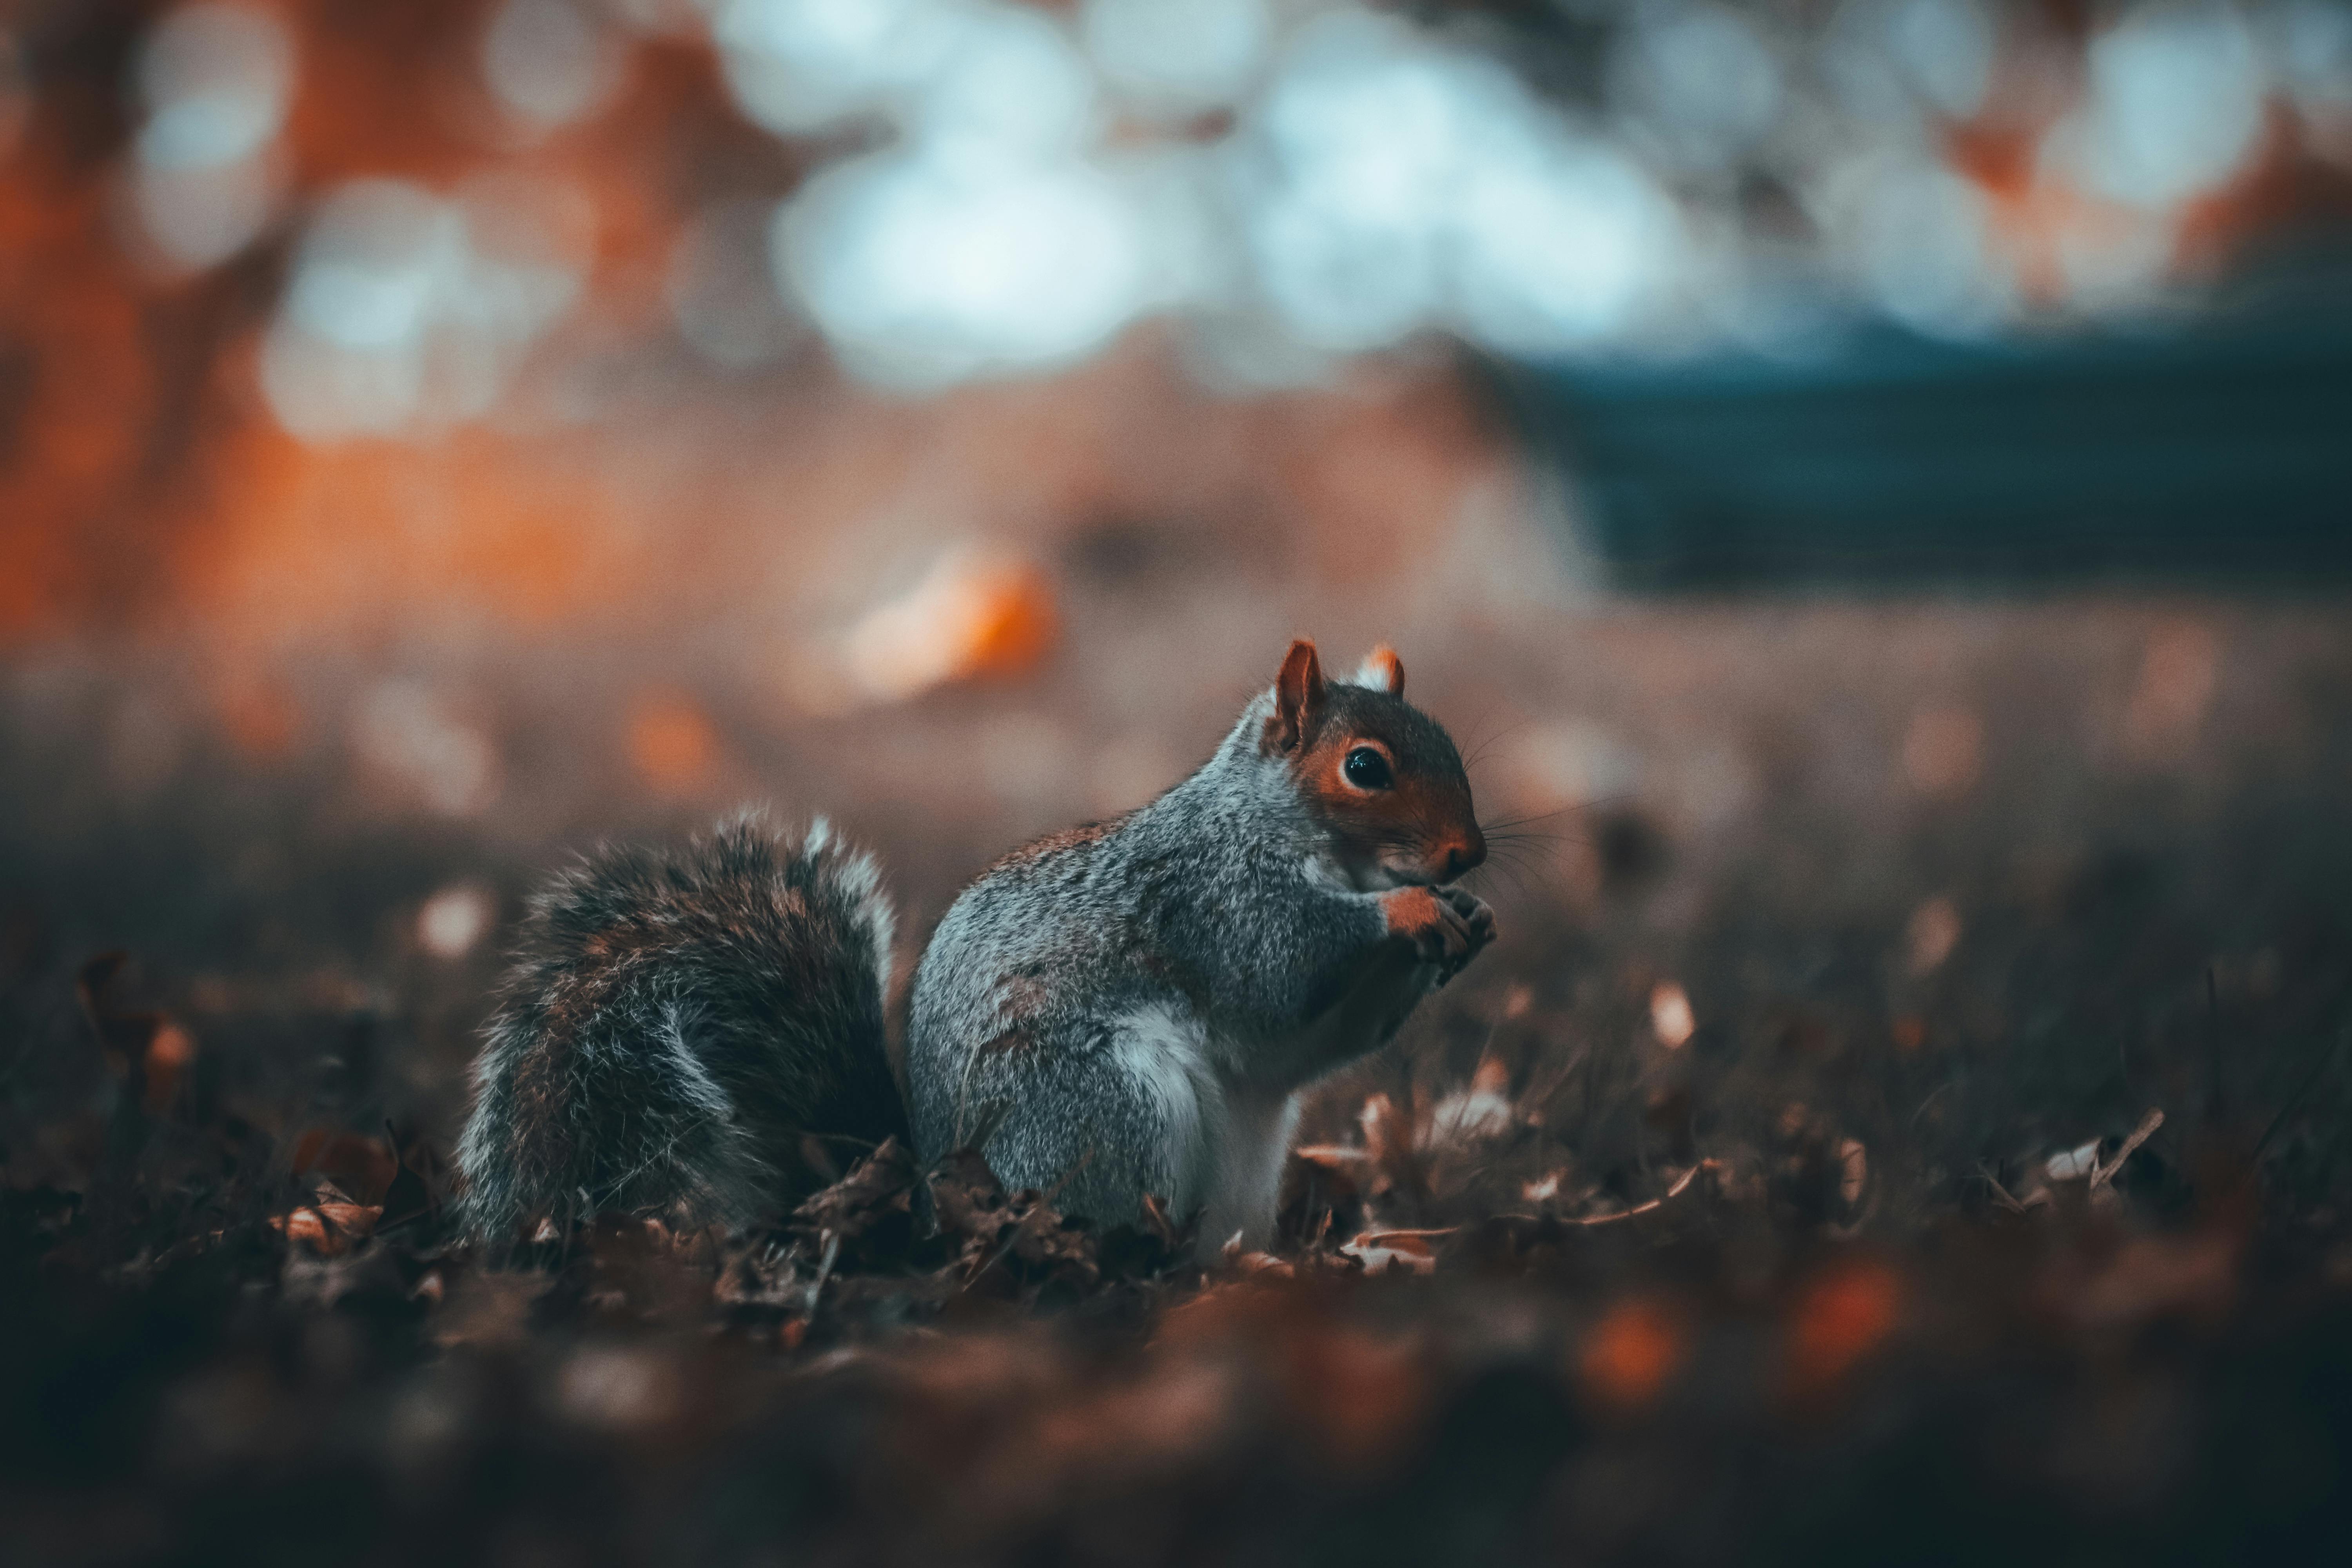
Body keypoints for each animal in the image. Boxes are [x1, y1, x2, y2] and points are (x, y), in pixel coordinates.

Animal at [456, 638, 1494, 1258]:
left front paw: (1467, 918)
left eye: (1449, 741)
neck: (1304, 841)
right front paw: (1410, 908)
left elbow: (1309, 1044)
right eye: (1364, 767)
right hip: (1099, 1104)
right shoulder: (1214, 898)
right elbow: (1281, 965)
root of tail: (925, 1199)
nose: (1467, 854)